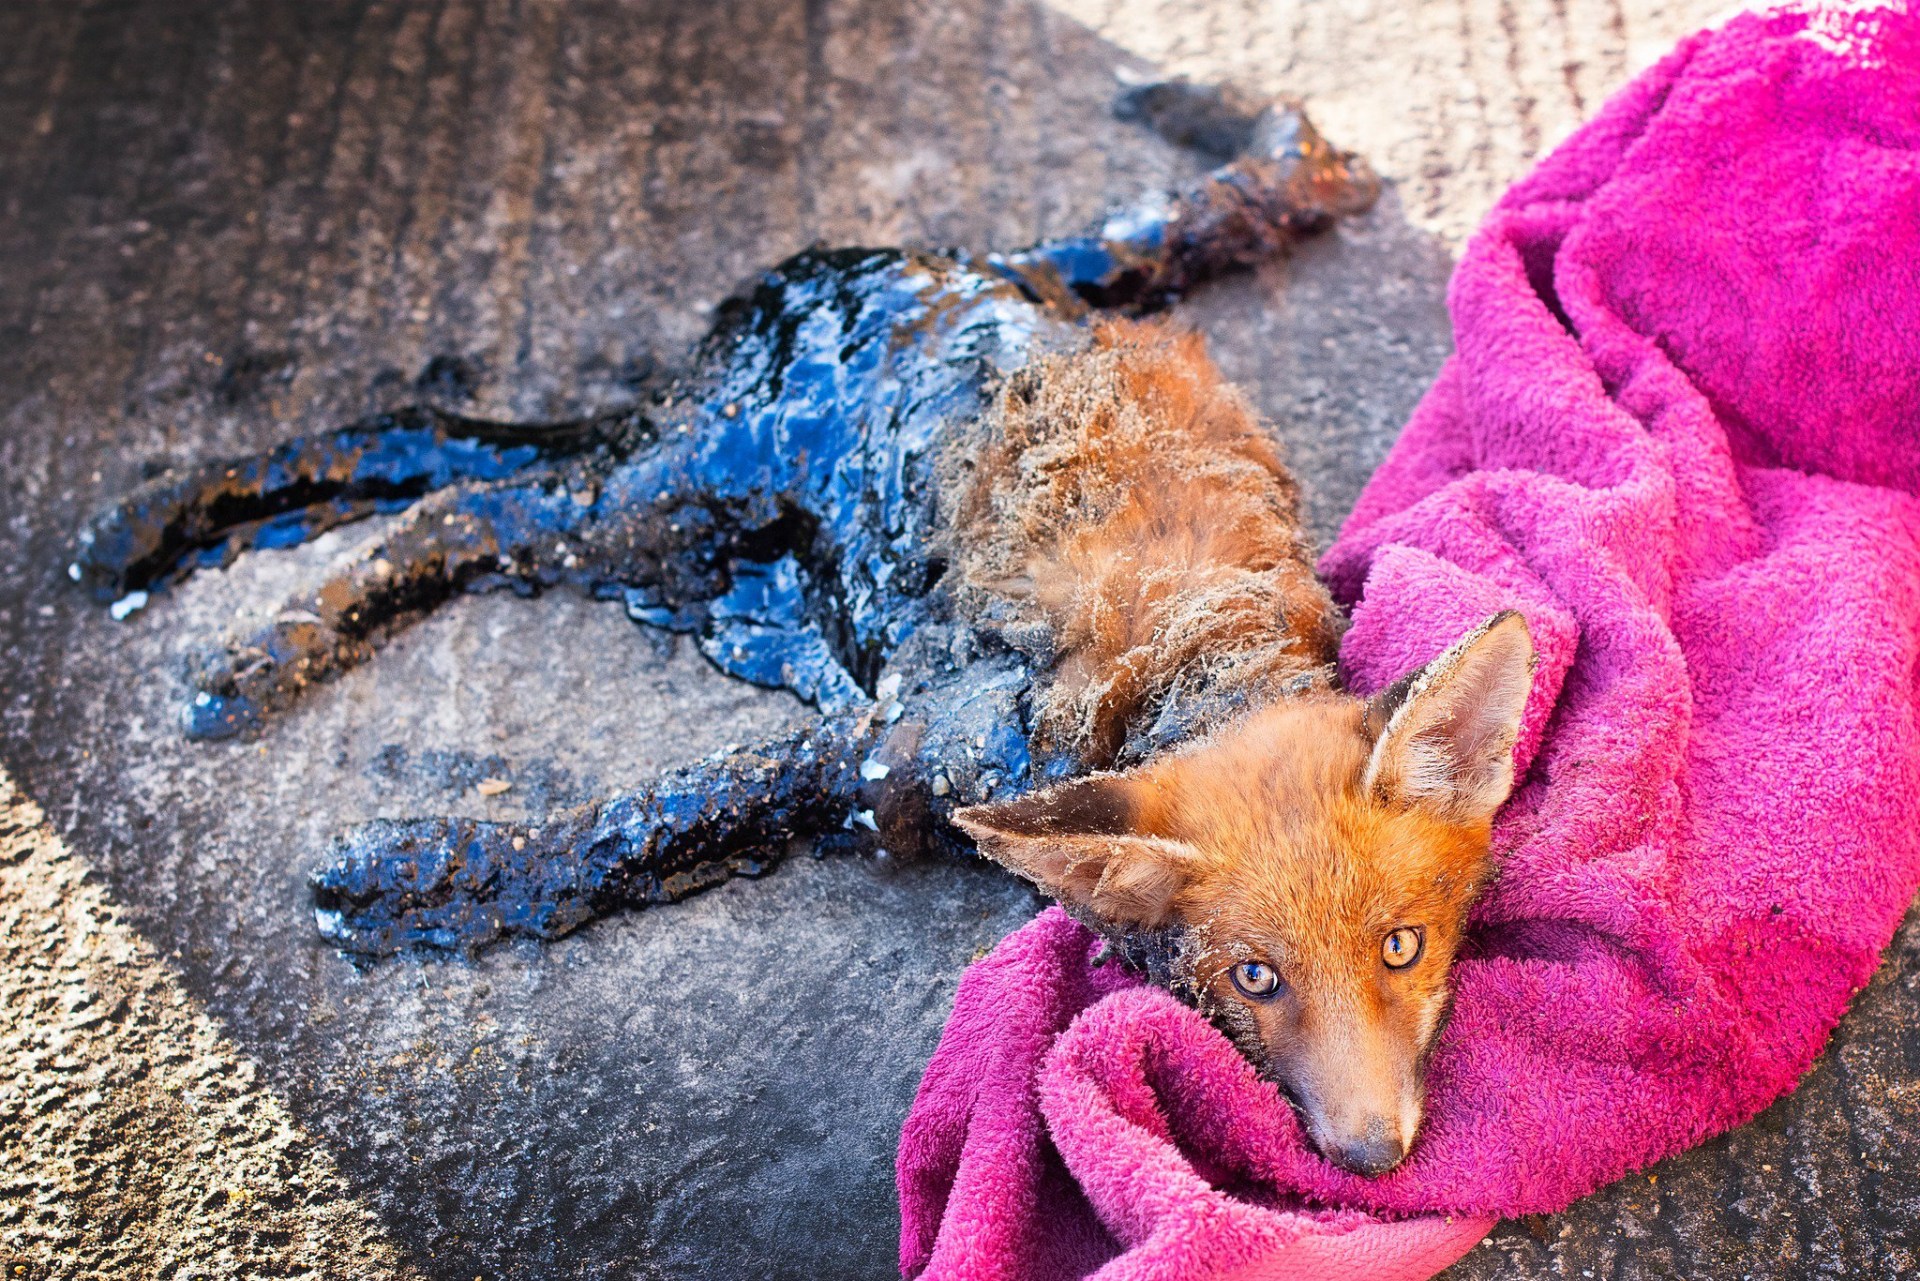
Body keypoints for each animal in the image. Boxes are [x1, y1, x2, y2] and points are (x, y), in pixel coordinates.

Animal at [69, 84, 1532, 1174]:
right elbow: (641, 822)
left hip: (694, 556)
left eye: (1404, 949)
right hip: (665, 505)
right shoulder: (880, 752)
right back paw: (248, 627)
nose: (1374, 1157)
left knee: (457, 464)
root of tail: (965, 258)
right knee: (461, 497)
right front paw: (417, 881)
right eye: (1253, 977)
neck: (1186, 667)